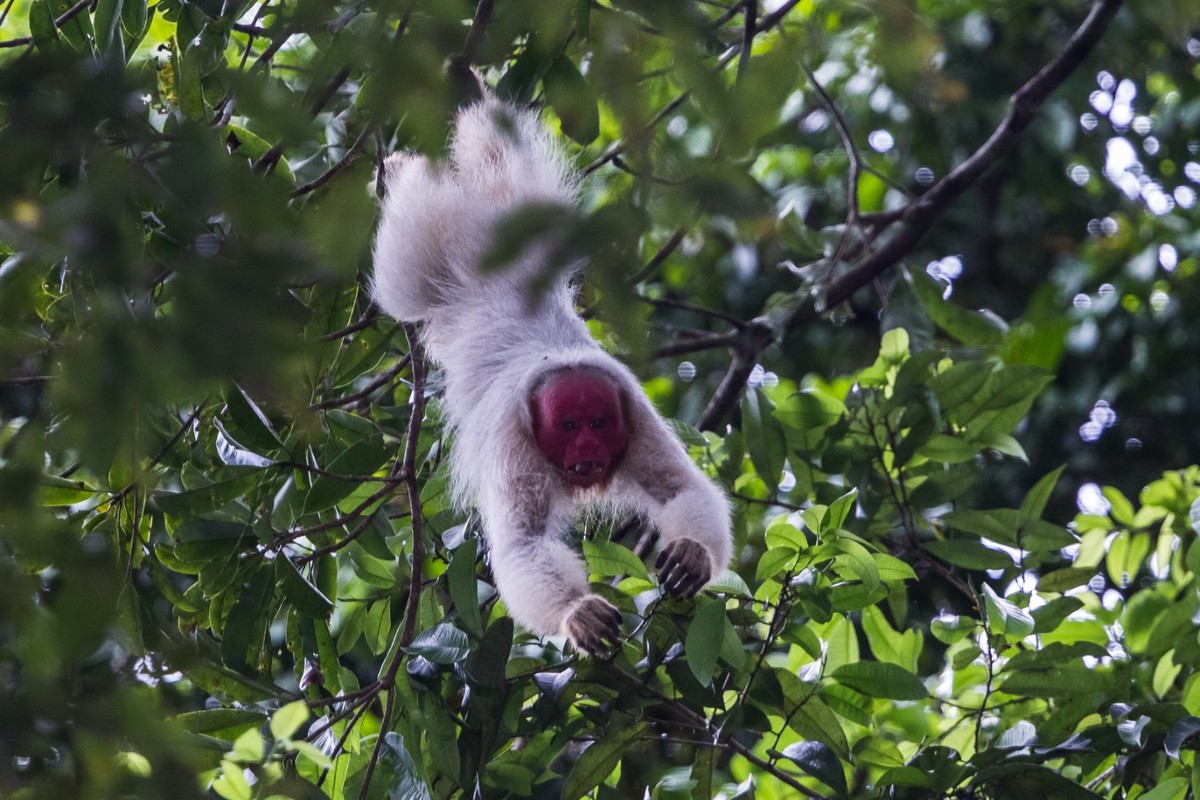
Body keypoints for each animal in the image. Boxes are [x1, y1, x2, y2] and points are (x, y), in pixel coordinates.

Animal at [370, 97, 732, 656]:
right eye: (569, 426)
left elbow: (681, 490)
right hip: (424, 245)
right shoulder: (514, 442)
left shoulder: (635, 410)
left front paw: (693, 552)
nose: (587, 450)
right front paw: (574, 612)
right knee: (406, 265)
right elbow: (525, 545)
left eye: (599, 423)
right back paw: (402, 171)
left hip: (527, 218)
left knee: (498, 156)